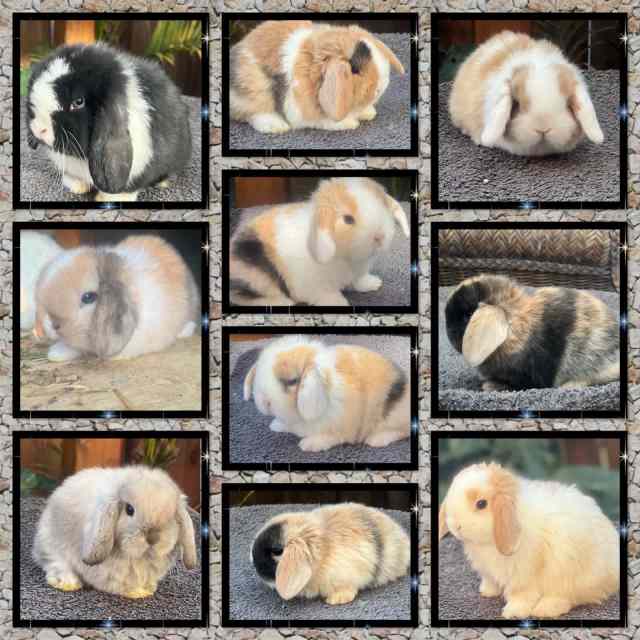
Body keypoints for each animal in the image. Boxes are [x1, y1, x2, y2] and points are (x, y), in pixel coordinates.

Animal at [33, 465, 198, 598]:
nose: (153, 538)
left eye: (172, 515)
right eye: (129, 509)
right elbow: (119, 584)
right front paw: (138, 593)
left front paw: (148, 589)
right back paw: (68, 583)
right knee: (55, 562)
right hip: (51, 544)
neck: (140, 558)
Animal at [230, 20, 405, 133]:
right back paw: (277, 127)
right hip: (255, 88)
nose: (380, 88)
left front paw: (368, 113)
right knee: (255, 112)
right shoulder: (301, 108)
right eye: (354, 69)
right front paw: (349, 123)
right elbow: (323, 120)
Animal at [230, 177, 410, 307]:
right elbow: (325, 294)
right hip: (257, 277)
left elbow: (359, 281)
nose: (380, 236)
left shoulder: (358, 273)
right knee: (243, 297)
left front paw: (373, 284)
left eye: (383, 205)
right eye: (348, 219)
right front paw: (339, 303)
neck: (346, 256)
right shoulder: (315, 285)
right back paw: (284, 302)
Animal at [243, 335, 410, 452]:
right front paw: (276, 425)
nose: (265, 401)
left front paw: (308, 445)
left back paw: (376, 440)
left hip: (392, 418)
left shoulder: (340, 427)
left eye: (292, 381)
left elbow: (330, 438)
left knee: (401, 432)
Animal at [439, 462, 619, 618]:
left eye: (481, 504)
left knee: (567, 598)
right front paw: (487, 591)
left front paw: (513, 612)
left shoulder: (523, 575)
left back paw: (545, 610)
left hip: (569, 575)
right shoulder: (488, 572)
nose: (455, 525)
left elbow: (521, 595)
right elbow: (491, 581)